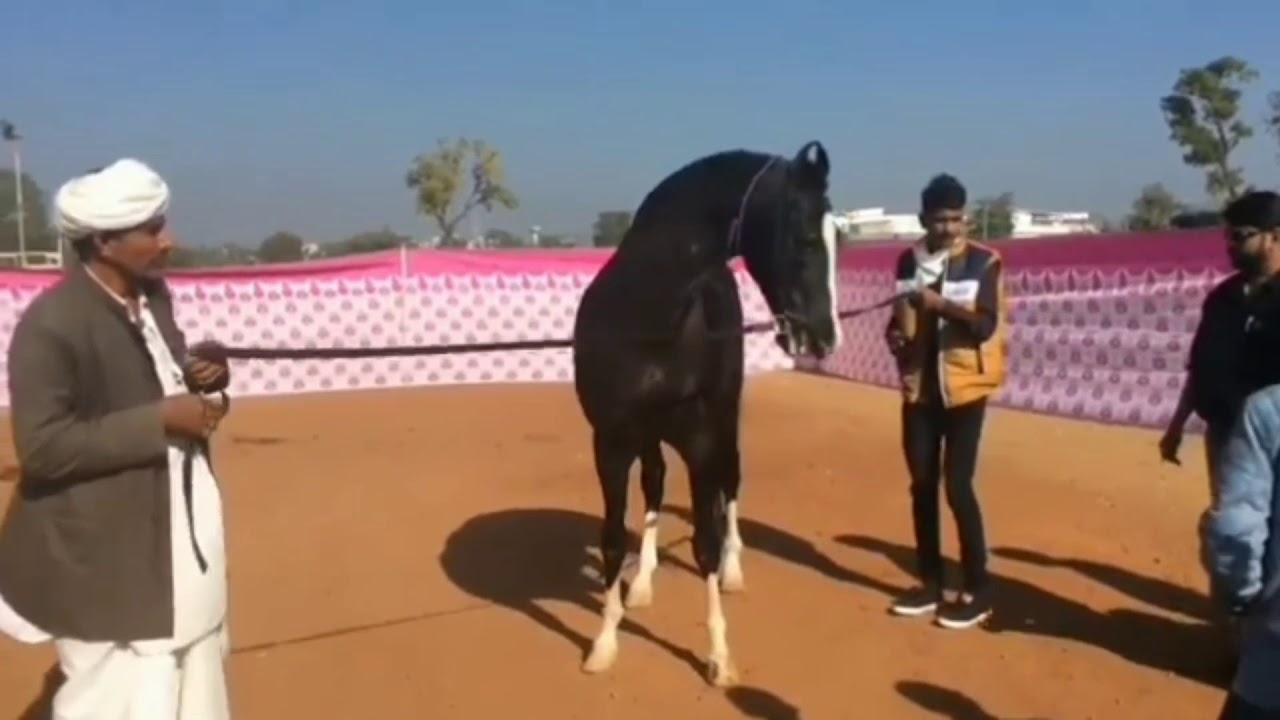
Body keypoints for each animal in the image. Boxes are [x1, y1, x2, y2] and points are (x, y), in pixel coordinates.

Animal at [570, 141, 842, 686]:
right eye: (804, 239)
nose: (825, 338)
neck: (649, 315)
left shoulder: (700, 440)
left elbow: (706, 545)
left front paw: (719, 656)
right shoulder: (611, 442)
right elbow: (613, 538)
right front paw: (604, 643)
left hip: (723, 420)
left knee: (730, 484)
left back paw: (734, 571)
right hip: (650, 438)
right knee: (654, 485)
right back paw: (643, 583)